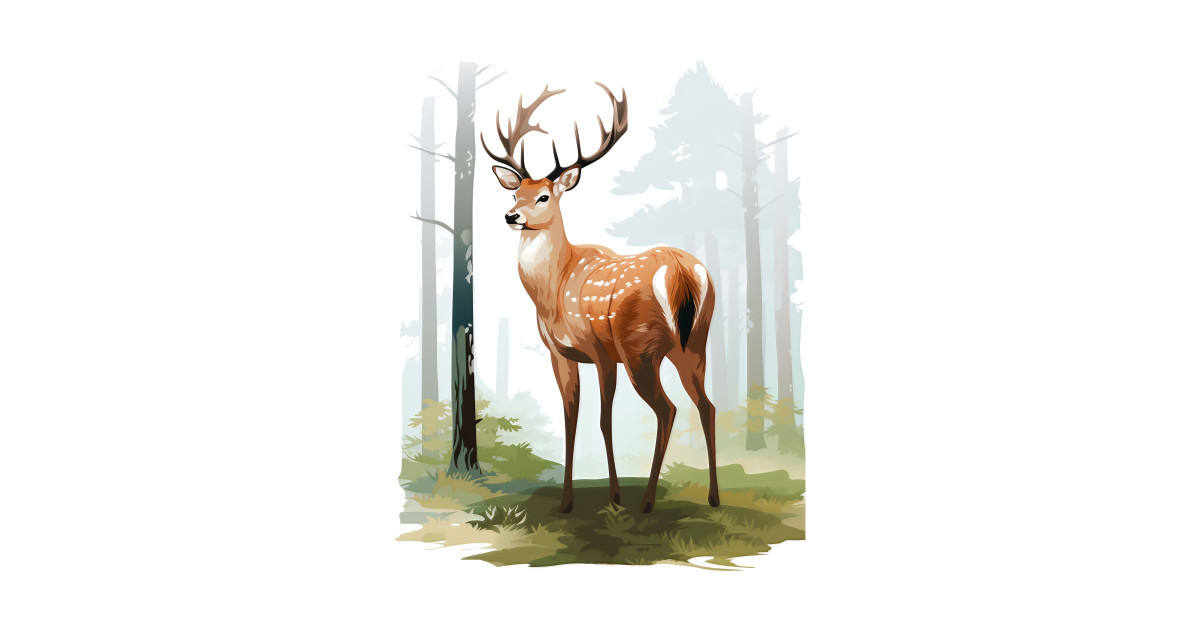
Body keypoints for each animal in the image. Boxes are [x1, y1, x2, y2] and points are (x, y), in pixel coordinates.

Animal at [482, 83, 719, 513]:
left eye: (544, 197)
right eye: (516, 192)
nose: (511, 216)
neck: (552, 291)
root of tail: (680, 271)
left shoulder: (596, 349)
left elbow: (599, 420)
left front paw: (607, 497)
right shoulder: (568, 353)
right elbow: (574, 419)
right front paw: (576, 499)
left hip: (638, 346)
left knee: (668, 408)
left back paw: (647, 502)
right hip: (695, 340)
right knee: (706, 405)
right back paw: (712, 497)